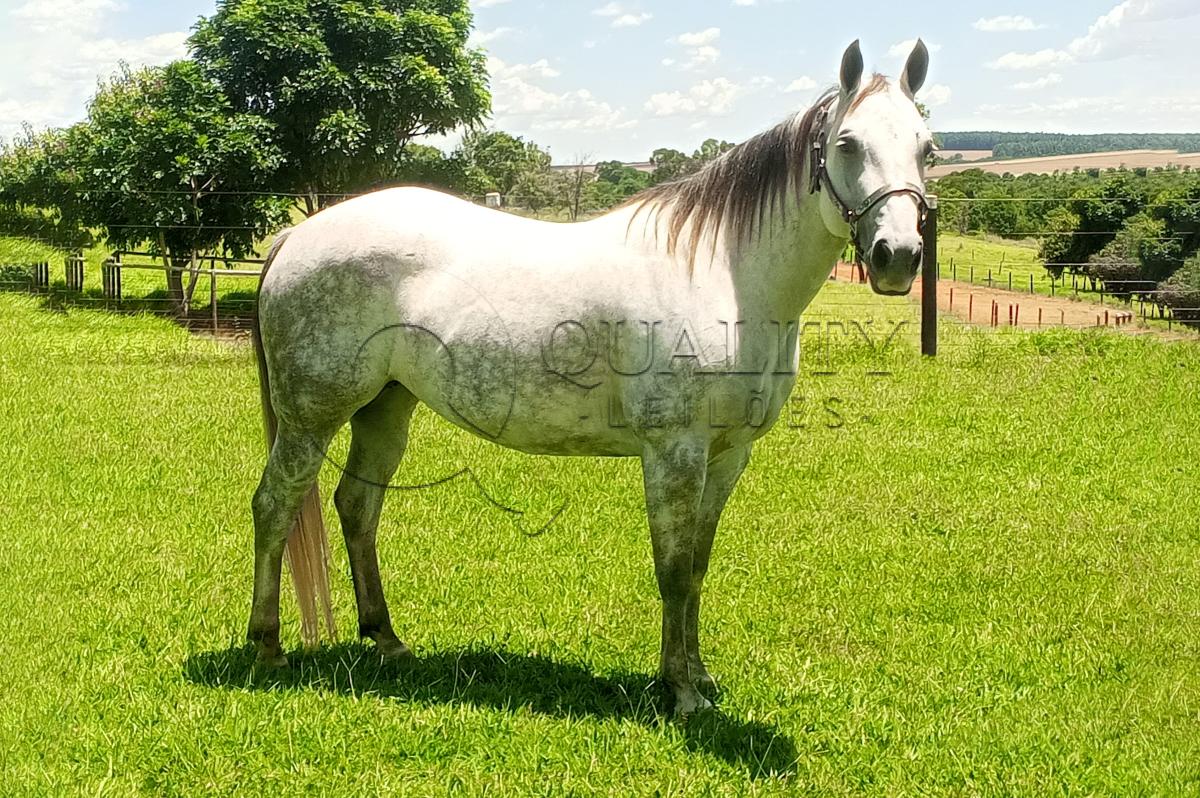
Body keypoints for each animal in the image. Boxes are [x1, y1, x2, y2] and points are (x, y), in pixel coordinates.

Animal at [248, 40, 934, 717]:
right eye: (847, 143)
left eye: (926, 147)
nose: (897, 257)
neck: (721, 274)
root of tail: (297, 236)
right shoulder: (674, 453)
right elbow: (673, 568)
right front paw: (680, 692)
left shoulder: (728, 455)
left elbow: (698, 565)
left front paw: (697, 677)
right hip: (311, 417)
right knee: (275, 505)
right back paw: (267, 647)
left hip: (386, 408)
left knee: (357, 506)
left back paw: (386, 639)